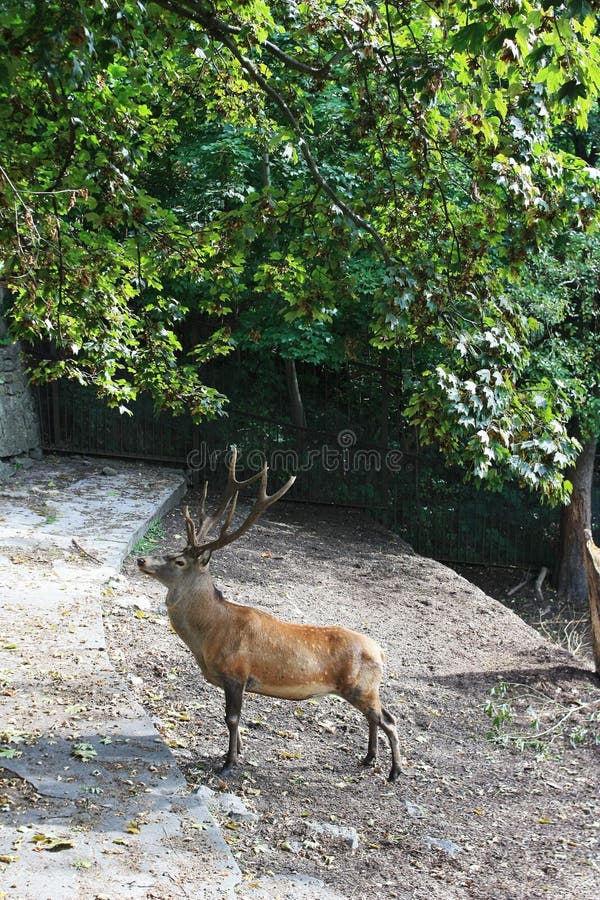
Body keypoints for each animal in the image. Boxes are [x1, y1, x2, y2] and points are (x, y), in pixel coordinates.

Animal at [137, 449, 402, 782]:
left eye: (179, 561)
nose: (141, 559)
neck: (210, 635)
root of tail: (381, 651)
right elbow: (236, 719)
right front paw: (238, 752)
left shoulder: (236, 673)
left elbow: (232, 718)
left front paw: (228, 763)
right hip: (363, 689)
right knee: (377, 718)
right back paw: (368, 758)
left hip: (362, 686)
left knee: (389, 720)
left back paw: (395, 772)